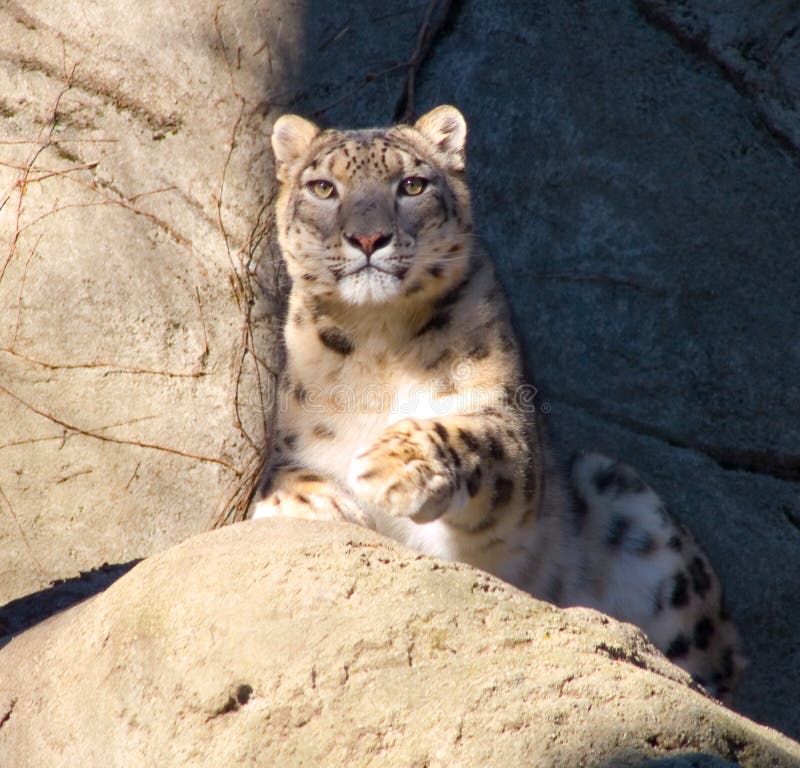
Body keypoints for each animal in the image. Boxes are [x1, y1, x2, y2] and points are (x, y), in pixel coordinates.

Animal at [252, 104, 744, 702]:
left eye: (411, 185)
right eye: (323, 187)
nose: (368, 237)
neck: (378, 340)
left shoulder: (503, 415)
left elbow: (467, 436)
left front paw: (392, 466)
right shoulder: (290, 441)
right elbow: (277, 477)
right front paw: (317, 503)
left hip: (636, 516)